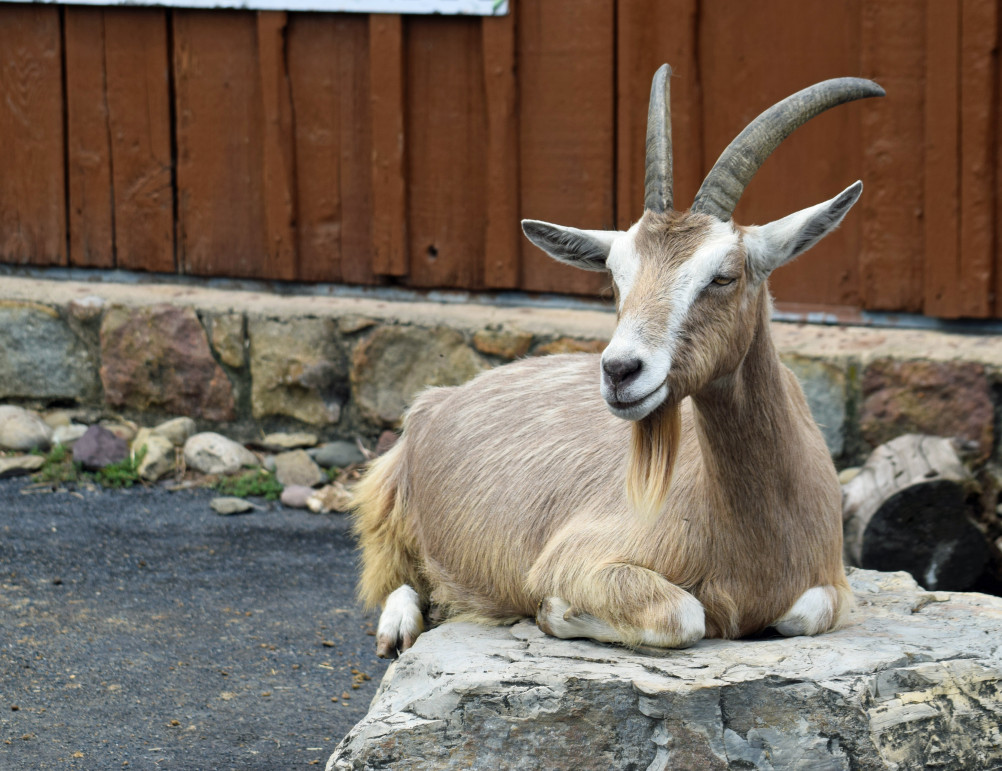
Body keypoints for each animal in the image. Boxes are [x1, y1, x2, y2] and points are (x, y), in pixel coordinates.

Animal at [353, 65, 884, 657]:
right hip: (391, 505)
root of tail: (438, 399)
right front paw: (555, 612)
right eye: (615, 276)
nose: (620, 371)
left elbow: (803, 613)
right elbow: (684, 614)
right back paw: (400, 628)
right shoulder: (579, 559)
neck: (754, 528)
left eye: (723, 276)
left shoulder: (829, 588)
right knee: (396, 573)